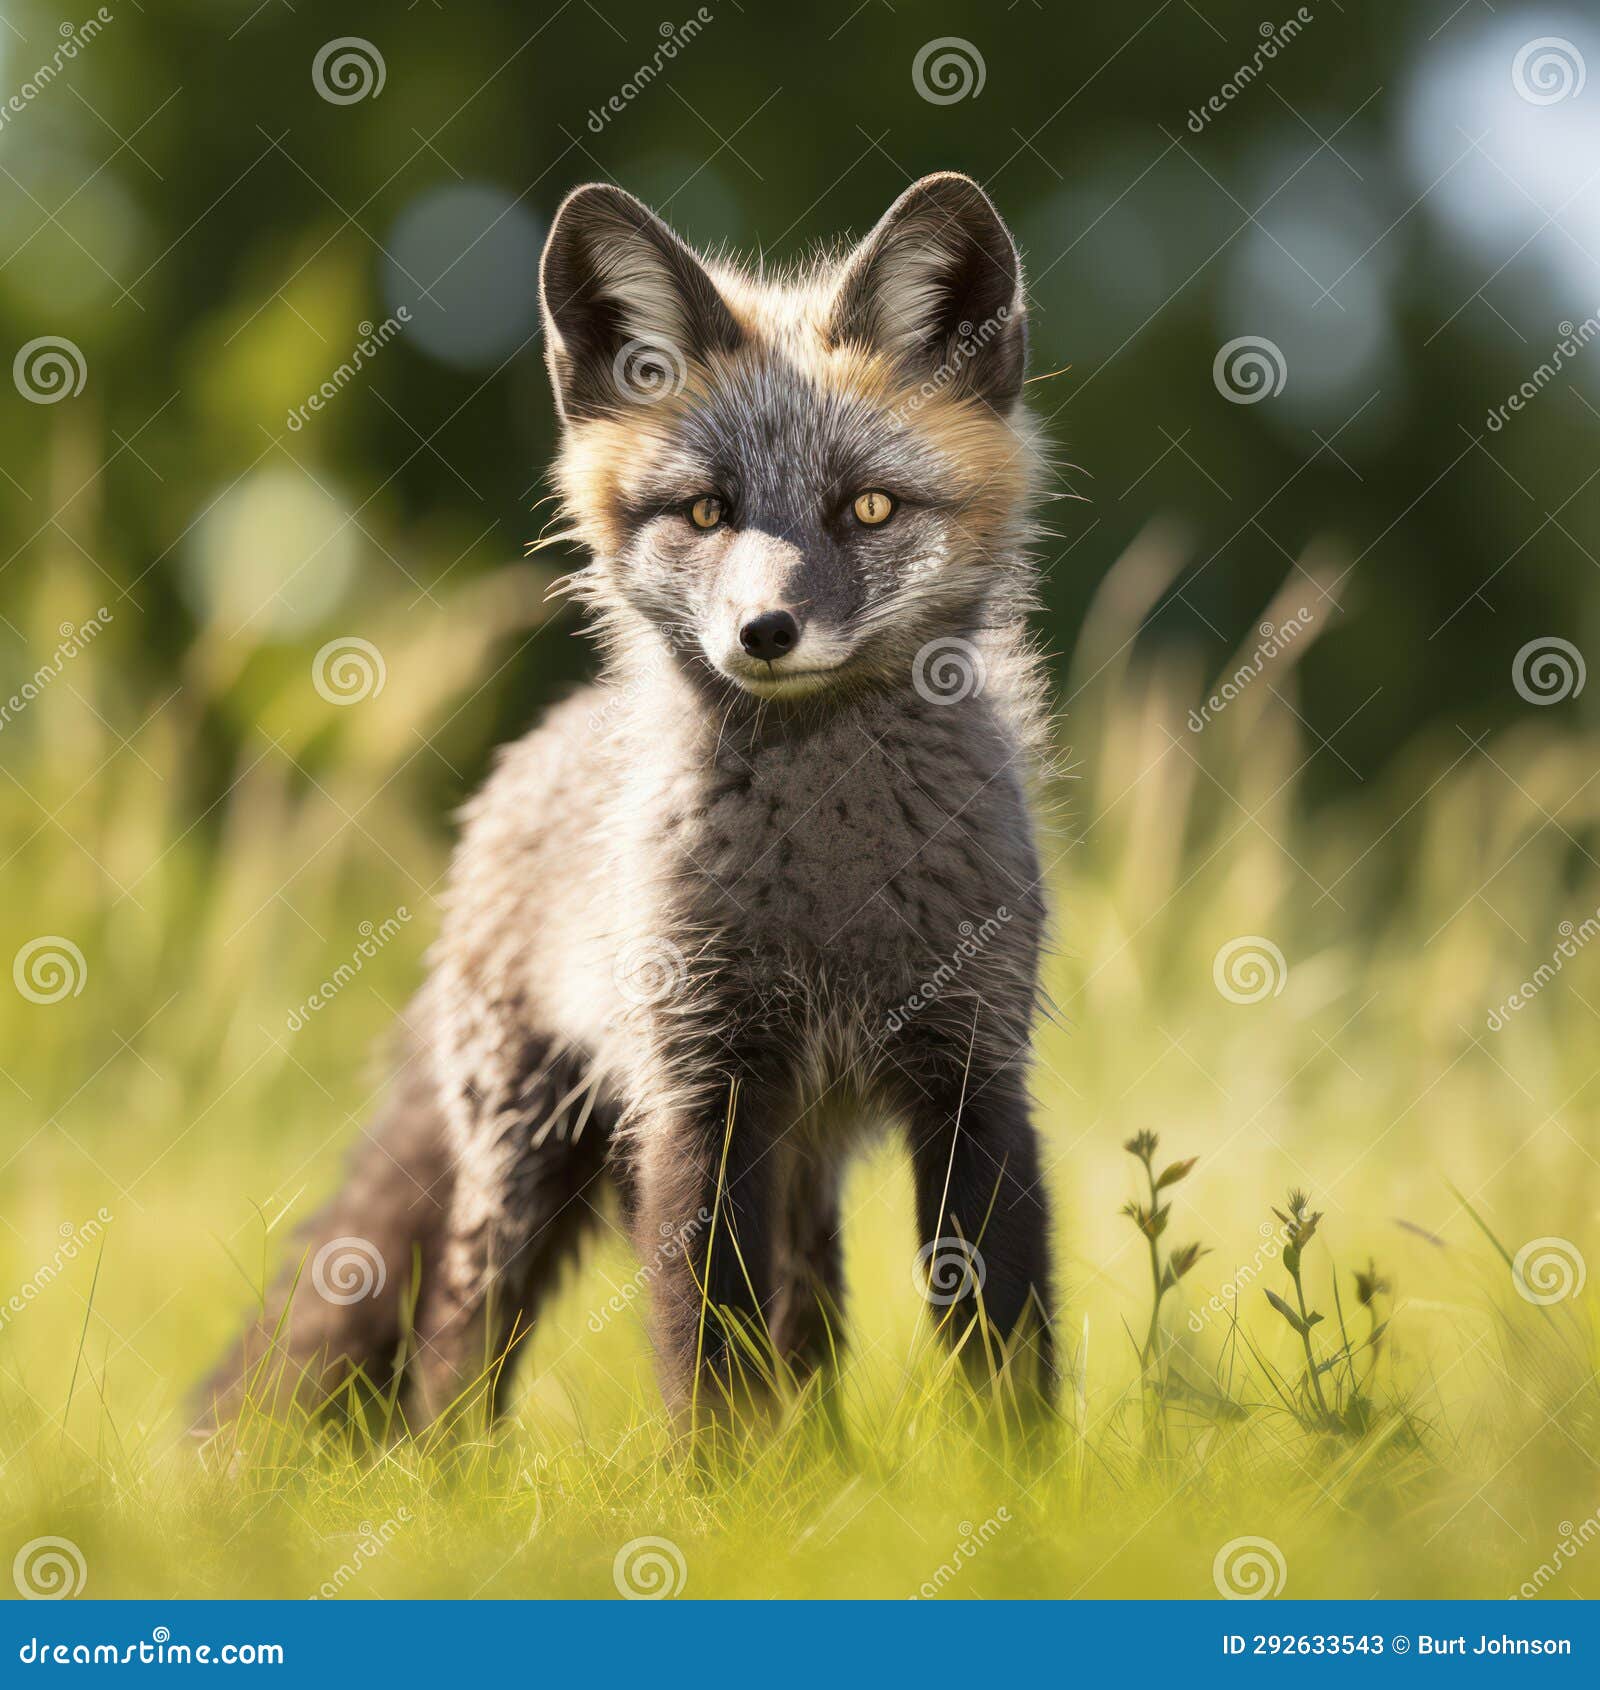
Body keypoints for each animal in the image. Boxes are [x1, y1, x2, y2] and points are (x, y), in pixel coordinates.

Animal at [199, 171, 1058, 1440]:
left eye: (867, 508)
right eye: (703, 514)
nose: (765, 631)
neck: (828, 879)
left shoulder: (973, 1073)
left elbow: (1001, 1340)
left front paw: (1018, 1477)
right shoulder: (699, 1089)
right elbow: (705, 1353)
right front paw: (725, 1485)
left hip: (794, 1158)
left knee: (808, 1332)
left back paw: (830, 1472)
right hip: (529, 1160)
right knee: (452, 1355)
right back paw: (448, 1476)